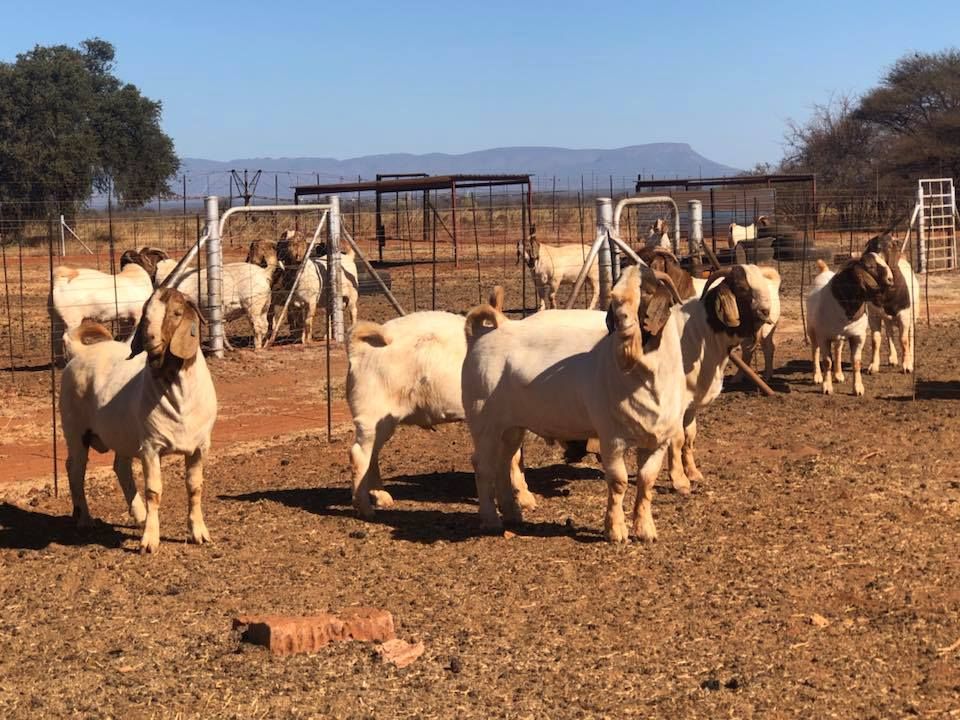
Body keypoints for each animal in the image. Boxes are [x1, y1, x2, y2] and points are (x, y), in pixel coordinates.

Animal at [59, 288, 218, 553]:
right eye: (145, 313)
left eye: (176, 312)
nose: (149, 339)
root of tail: (80, 351)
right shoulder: (151, 445)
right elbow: (154, 491)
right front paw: (150, 541)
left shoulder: (199, 446)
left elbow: (195, 487)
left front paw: (200, 533)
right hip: (74, 430)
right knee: (75, 470)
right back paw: (85, 519)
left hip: (122, 433)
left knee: (120, 467)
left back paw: (139, 515)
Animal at [462, 264, 685, 542]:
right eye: (614, 296)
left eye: (648, 290)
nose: (623, 320)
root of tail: (479, 337)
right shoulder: (612, 437)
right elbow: (619, 481)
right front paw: (616, 531)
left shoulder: (658, 440)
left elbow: (646, 481)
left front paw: (646, 531)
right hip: (483, 421)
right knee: (483, 466)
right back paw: (491, 520)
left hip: (511, 427)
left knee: (504, 463)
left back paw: (513, 514)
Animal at [806, 254, 894, 395]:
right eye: (870, 266)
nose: (891, 279)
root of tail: (824, 271)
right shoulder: (824, 337)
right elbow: (827, 362)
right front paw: (827, 387)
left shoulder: (858, 336)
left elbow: (856, 362)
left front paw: (858, 388)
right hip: (812, 331)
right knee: (815, 351)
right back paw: (817, 377)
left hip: (838, 337)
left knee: (838, 351)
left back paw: (838, 375)